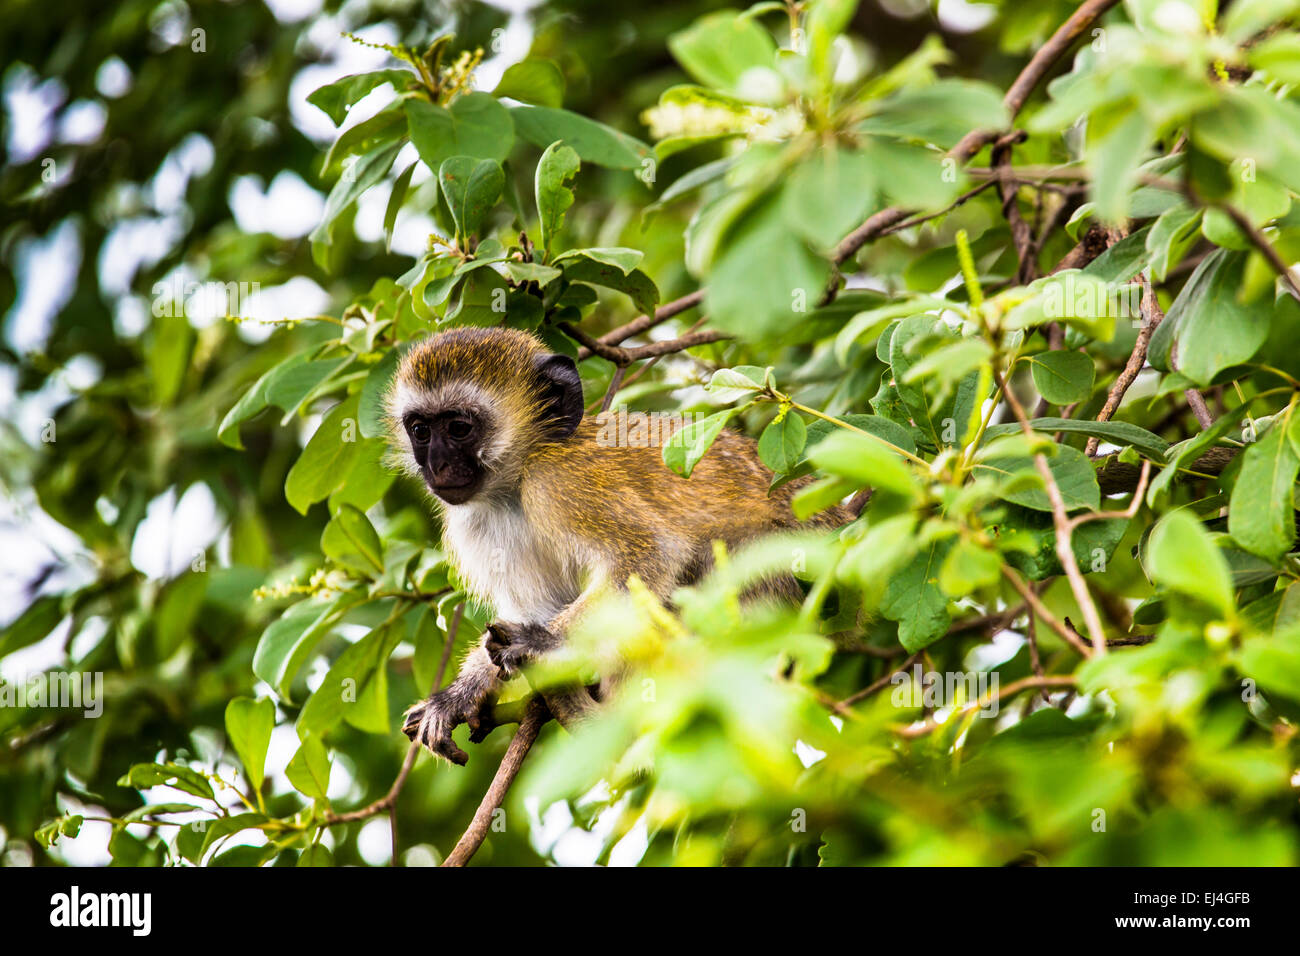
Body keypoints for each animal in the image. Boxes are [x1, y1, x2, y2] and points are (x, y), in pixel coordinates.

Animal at [386, 326, 847, 764]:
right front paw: (460, 693)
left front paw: (543, 643)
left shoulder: (559, 481)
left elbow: (651, 552)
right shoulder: (478, 524)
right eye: (420, 430)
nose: (437, 466)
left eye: (459, 428)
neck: (513, 485)